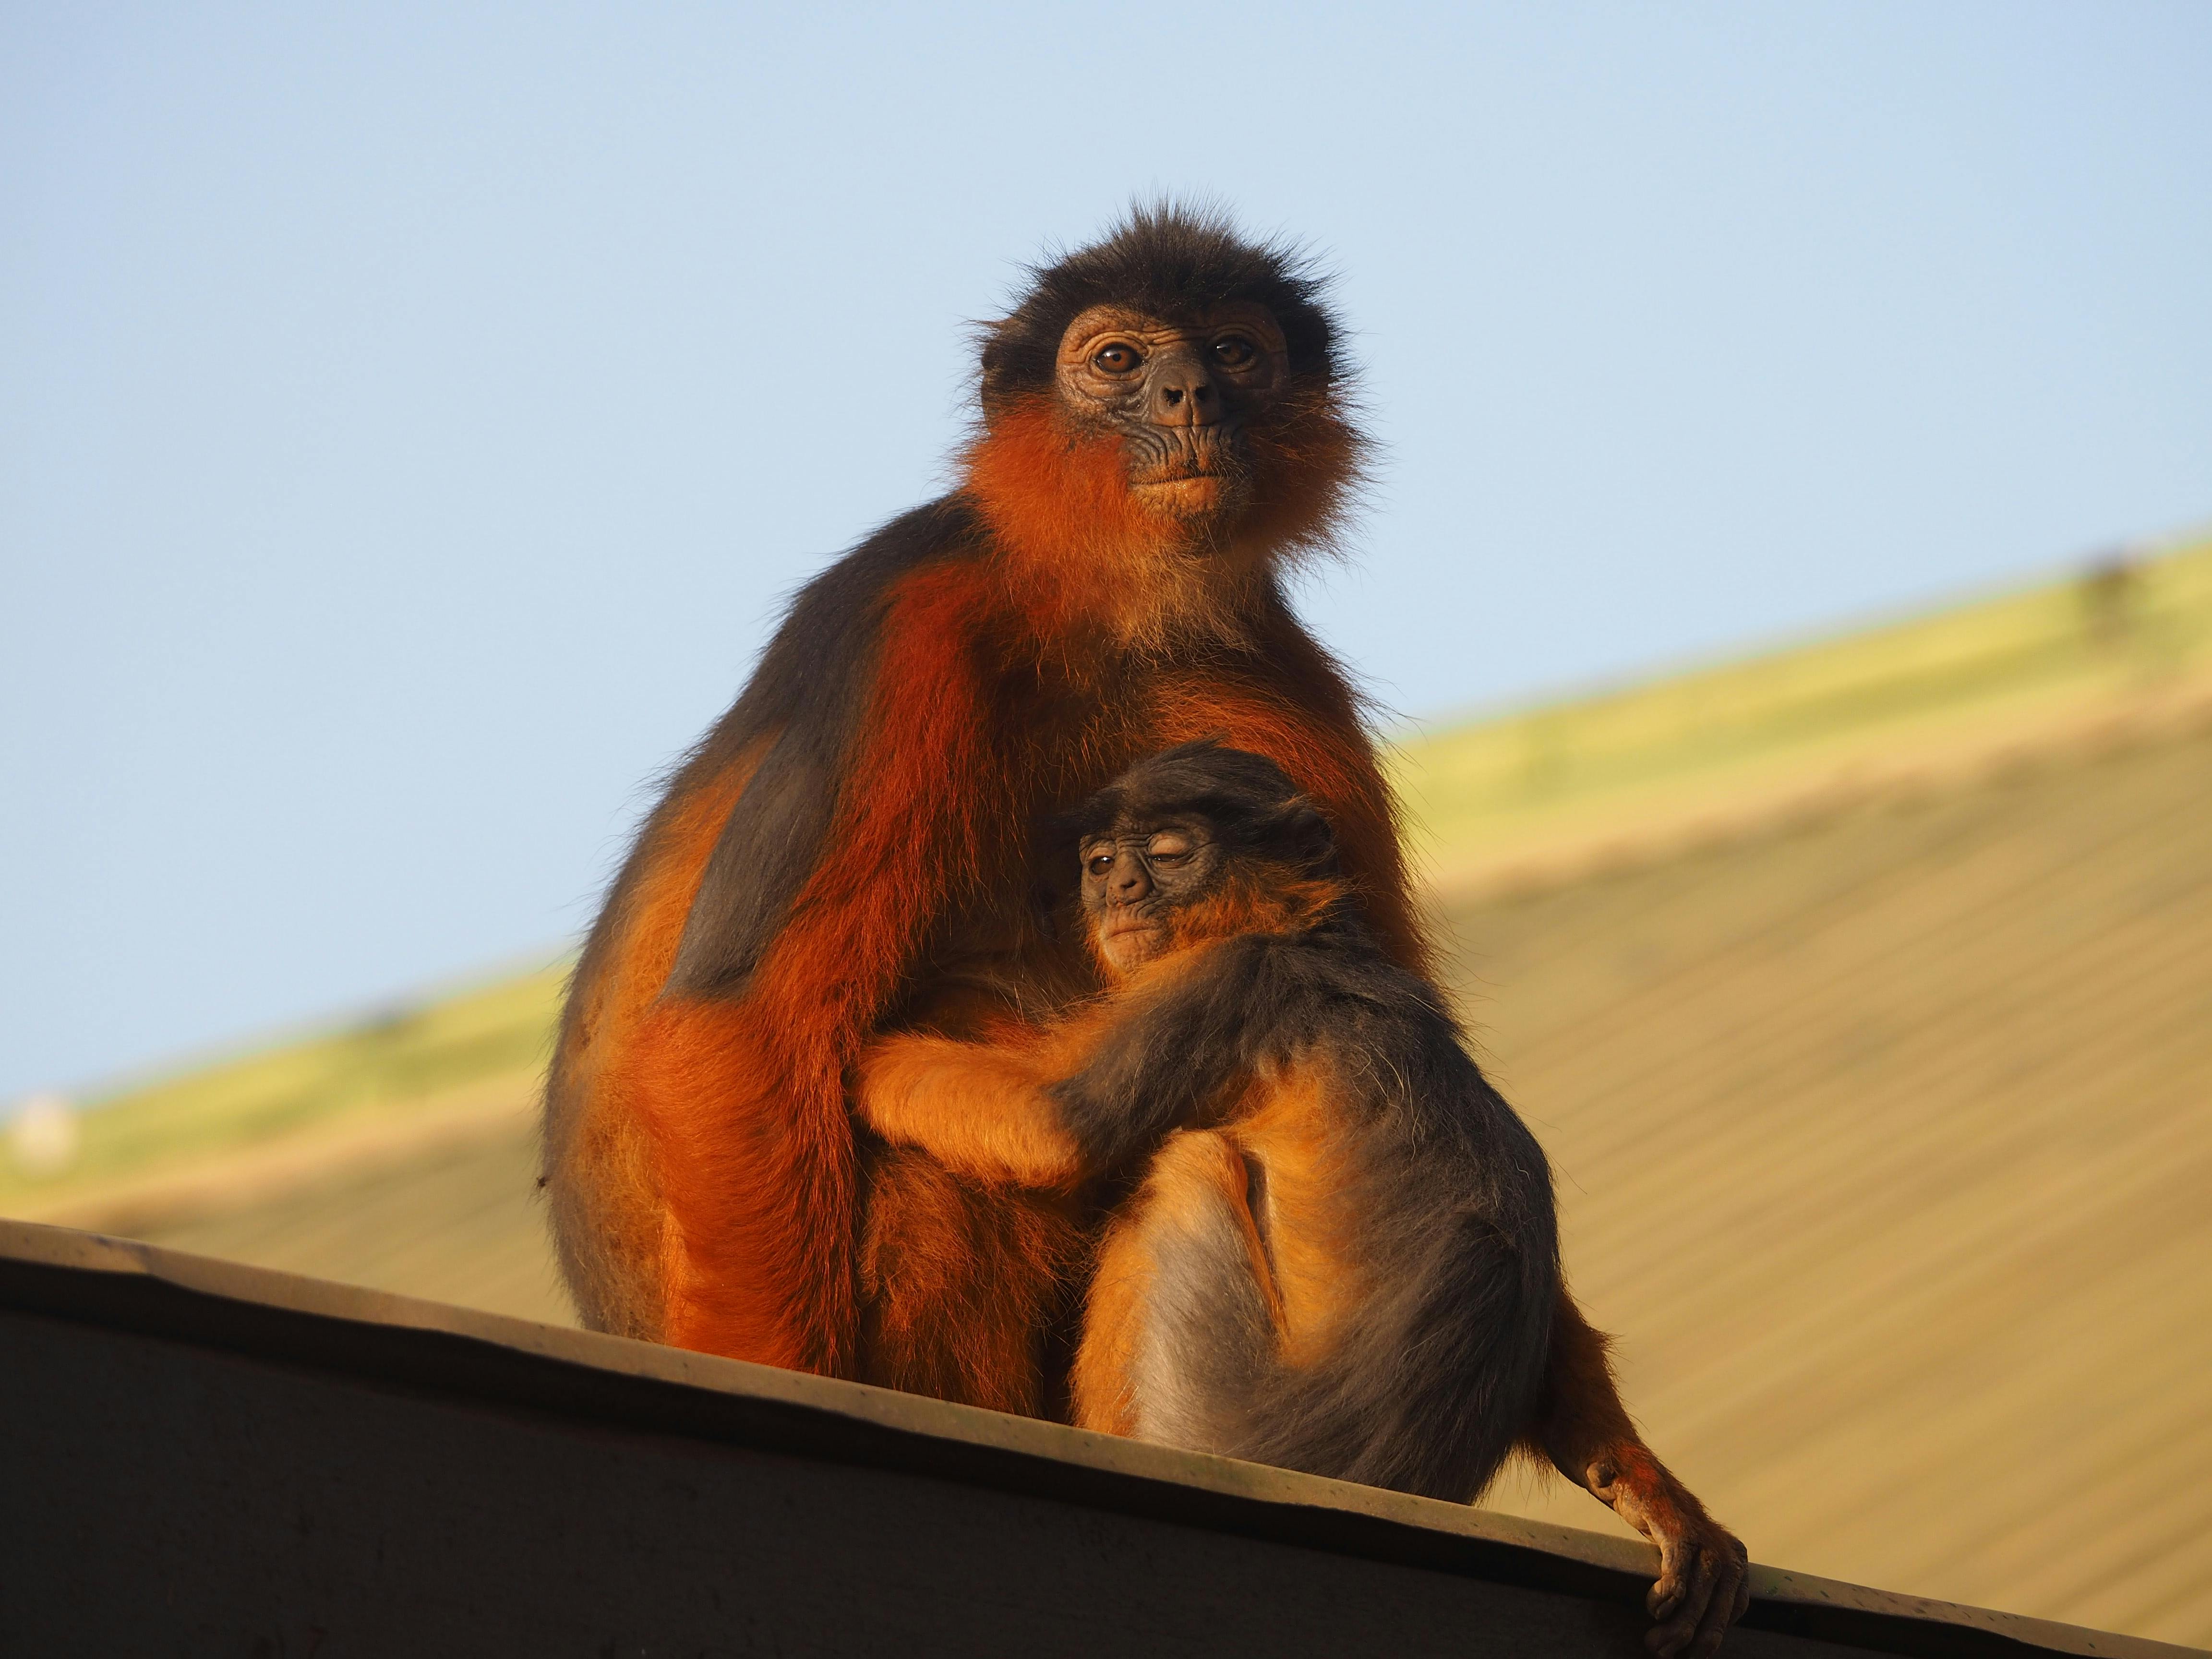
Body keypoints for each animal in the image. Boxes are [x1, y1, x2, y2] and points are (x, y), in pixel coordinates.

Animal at [539, 204, 1425, 1418]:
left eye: (1236, 351)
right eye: (1119, 360)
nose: (1189, 396)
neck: (1107, 611)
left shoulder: (1275, 670)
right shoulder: (909, 622)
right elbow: (741, 1019)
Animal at [853, 742, 1752, 1659]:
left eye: (1168, 853)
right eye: (1101, 864)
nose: (1120, 890)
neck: (1310, 935)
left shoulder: (1229, 979)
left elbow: (1056, 1125)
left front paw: (863, 1062)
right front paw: (1654, 1494)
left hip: (1204, 1398)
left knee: (1189, 1161)